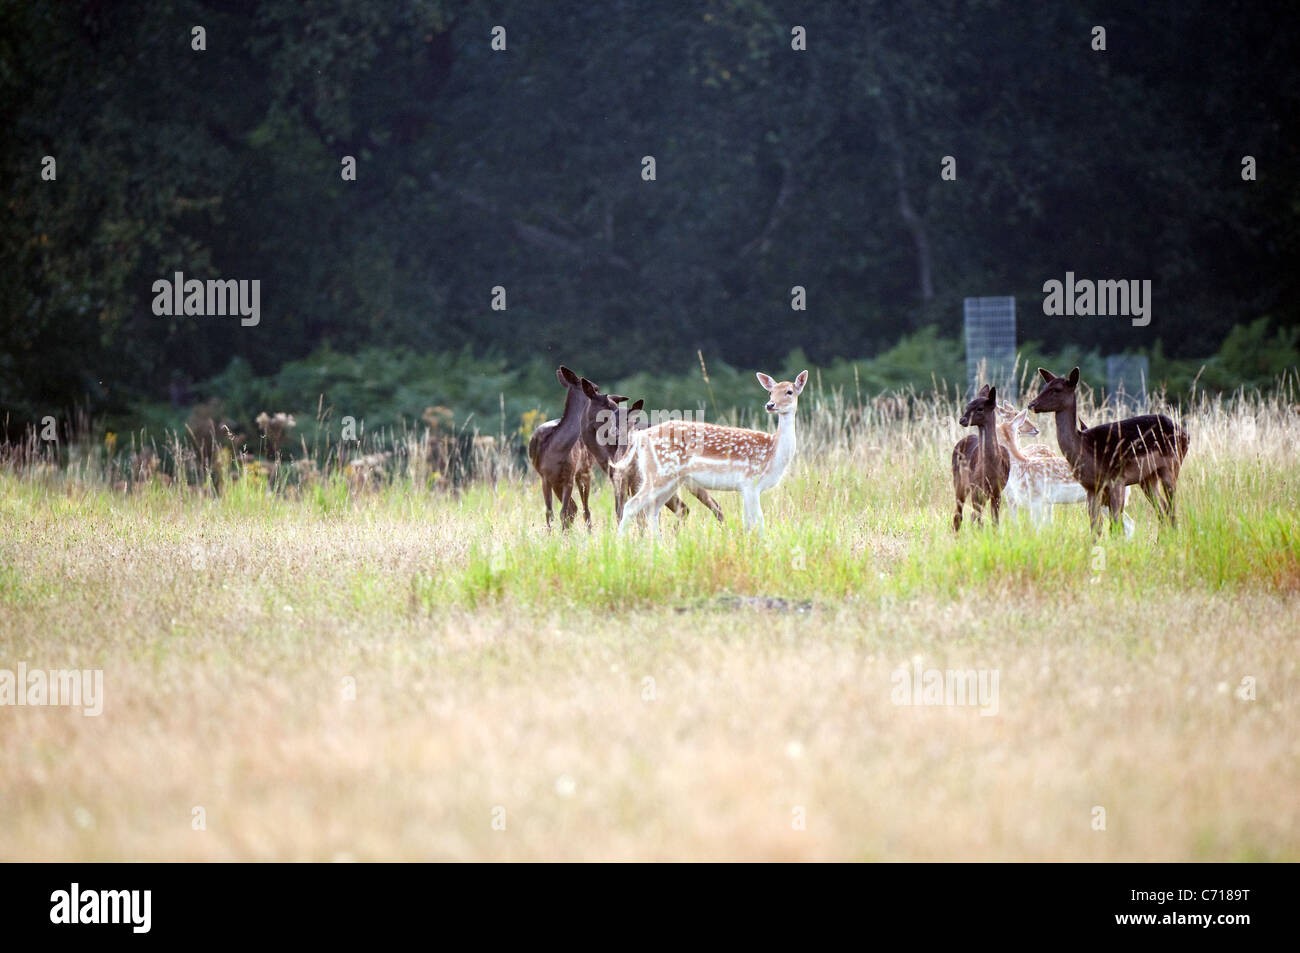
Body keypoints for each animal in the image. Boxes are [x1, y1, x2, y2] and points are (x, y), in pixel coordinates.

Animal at [526, 365, 593, 531]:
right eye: (595, 387)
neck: (556, 449)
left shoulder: (569, 475)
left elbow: (563, 512)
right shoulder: (545, 476)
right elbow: (549, 513)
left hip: (585, 470)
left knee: (584, 510)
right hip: (557, 481)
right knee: (574, 508)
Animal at [579, 377, 725, 524]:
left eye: (611, 406)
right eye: (607, 409)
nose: (613, 432)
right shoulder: (622, 480)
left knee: (706, 506)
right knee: (690, 508)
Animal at [612, 370, 808, 535]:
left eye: (789, 391)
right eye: (770, 392)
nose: (770, 405)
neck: (773, 454)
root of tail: (640, 437)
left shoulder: (746, 488)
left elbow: (748, 521)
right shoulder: (750, 481)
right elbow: (758, 521)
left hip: (670, 479)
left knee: (652, 510)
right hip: (659, 474)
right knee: (631, 506)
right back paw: (621, 543)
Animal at [952, 385, 1011, 532]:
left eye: (980, 408)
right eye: (967, 406)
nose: (962, 420)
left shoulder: (997, 490)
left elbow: (995, 522)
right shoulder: (976, 487)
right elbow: (978, 520)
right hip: (959, 480)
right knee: (958, 516)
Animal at [1027, 367, 1189, 534]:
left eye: (1057, 389)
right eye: (1044, 387)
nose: (1031, 404)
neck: (1086, 450)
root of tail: (1185, 434)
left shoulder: (1117, 479)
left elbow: (1115, 526)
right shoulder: (1091, 487)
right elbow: (1095, 527)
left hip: (1171, 466)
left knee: (1171, 510)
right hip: (1148, 477)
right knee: (1162, 510)